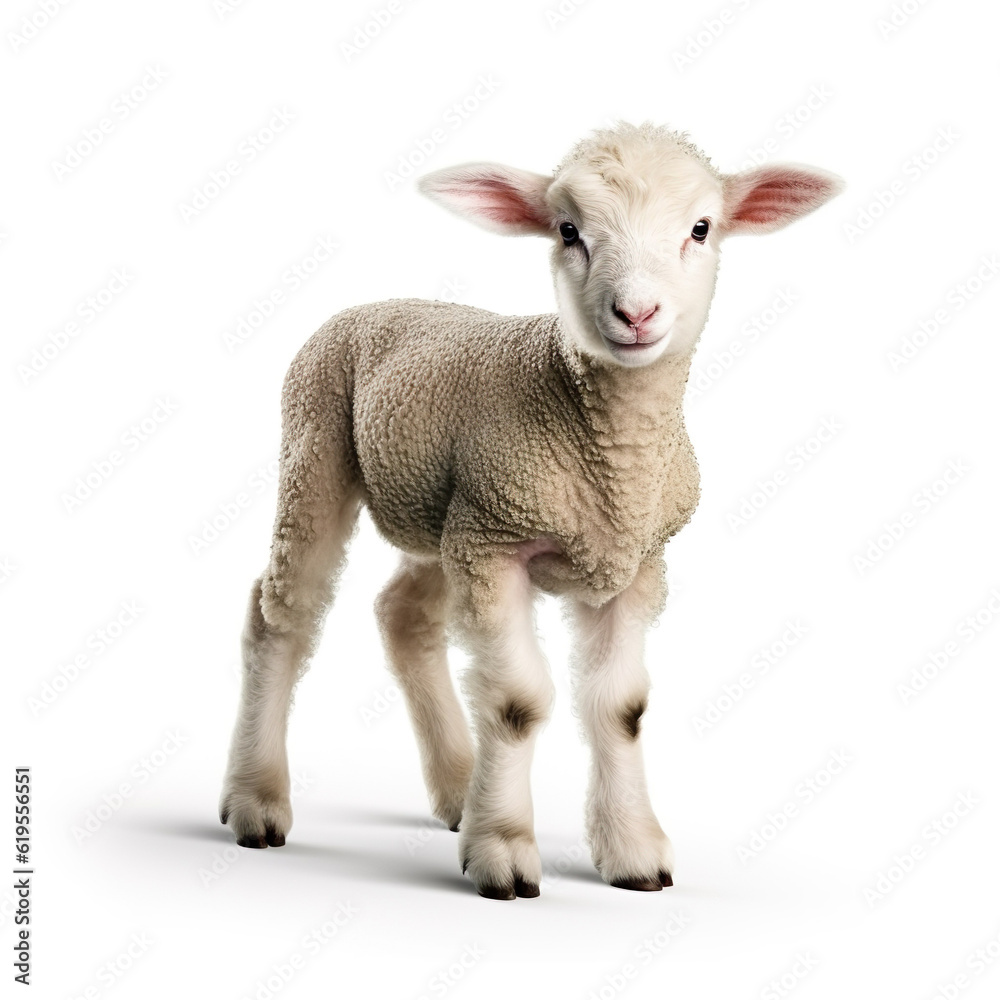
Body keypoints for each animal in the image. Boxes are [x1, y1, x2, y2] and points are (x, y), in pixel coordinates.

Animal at [219, 121, 843, 899]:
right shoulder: (497, 550)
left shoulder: (634, 564)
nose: (637, 314)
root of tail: (376, 303)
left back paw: (459, 784)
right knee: (281, 614)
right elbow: (517, 702)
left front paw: (633, 851)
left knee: (402, 615)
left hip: (447, 516)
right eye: (568, 231)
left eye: (701, 228)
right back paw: (256, 799)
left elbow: (621, 708)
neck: (608, 451)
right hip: (320, 449)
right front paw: (505, 849)